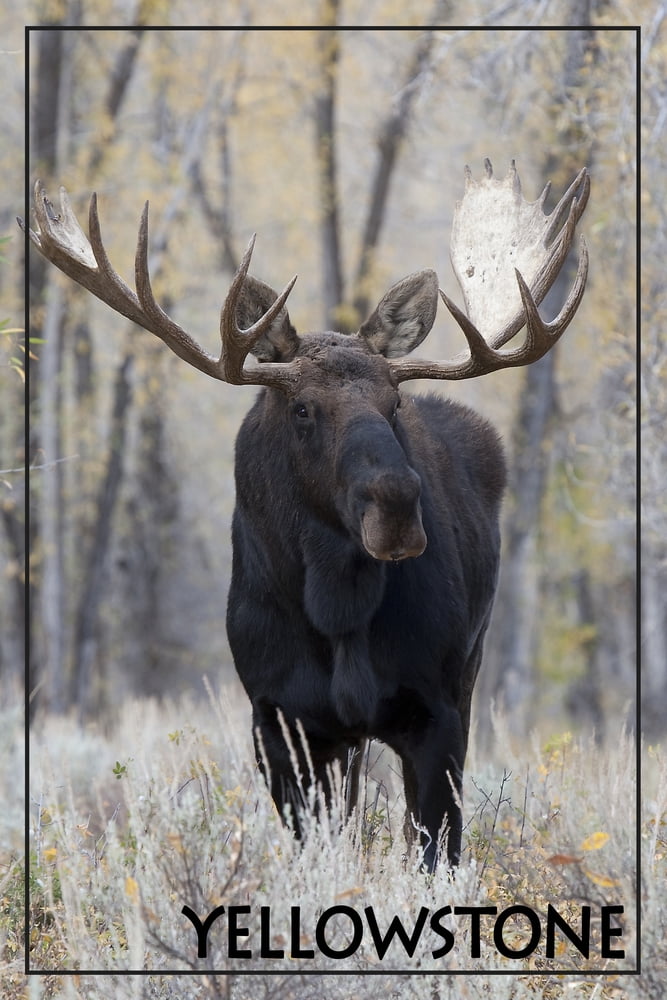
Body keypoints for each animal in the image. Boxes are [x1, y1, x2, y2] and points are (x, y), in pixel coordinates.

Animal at [23, 159, 589, 870]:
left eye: (394, 402)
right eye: (301, 409)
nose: (397, 508)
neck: (337, 613)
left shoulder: (436, 709)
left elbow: (437, 851)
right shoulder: (276, 719)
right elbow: (318, 849)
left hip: (468, 669)